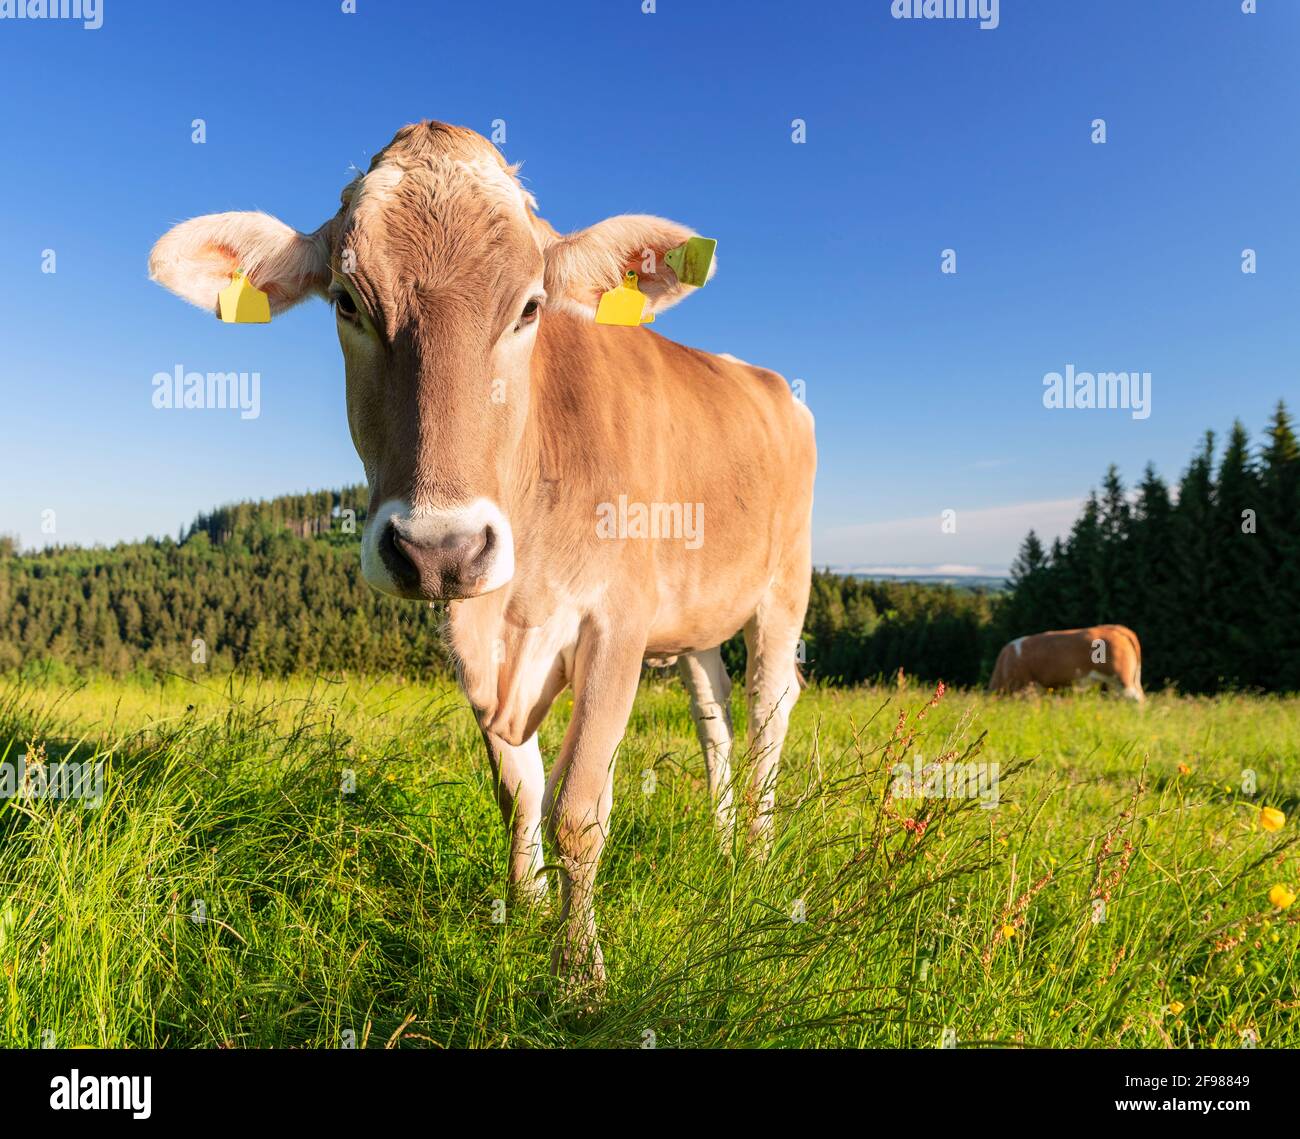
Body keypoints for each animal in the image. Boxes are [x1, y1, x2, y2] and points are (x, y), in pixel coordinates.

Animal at [147, 121, 816, 993]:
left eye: (529, 307)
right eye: (348, 301)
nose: (439, 547)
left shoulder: (618, 623)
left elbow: (578, 810)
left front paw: (579, 973)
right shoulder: (472, 632)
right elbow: (518, 789)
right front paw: (526, 909)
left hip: (783, 589)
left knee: (770, 711)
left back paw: (761, 861)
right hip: (697, 620)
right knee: (717, 717)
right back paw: (724, 840)